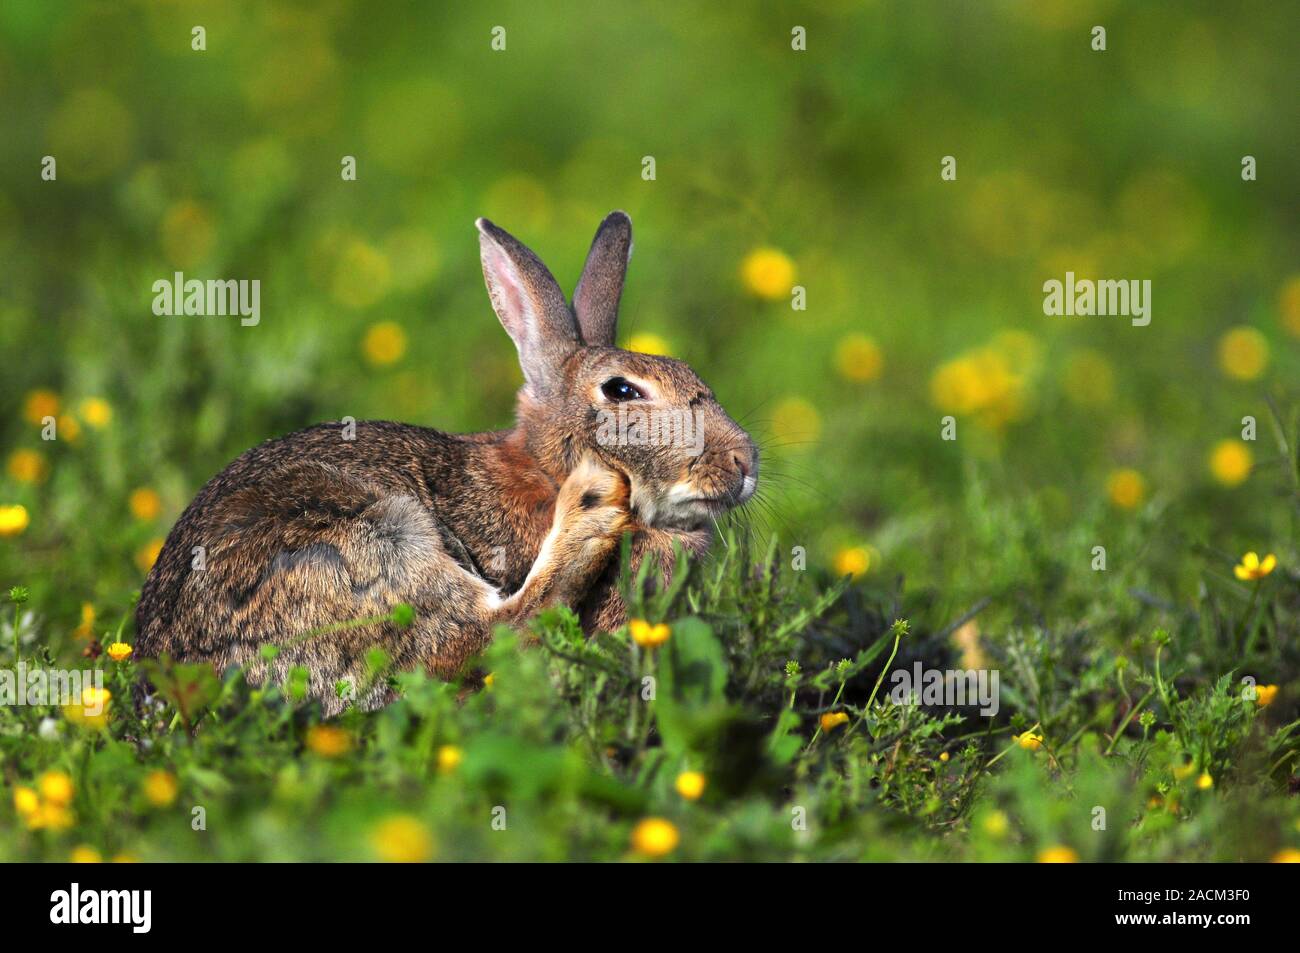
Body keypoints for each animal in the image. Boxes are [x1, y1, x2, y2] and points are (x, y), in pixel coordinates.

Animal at [134, 211, 759, 714]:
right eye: (622, 391)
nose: (744, 462)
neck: (546, 471)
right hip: (366, 544)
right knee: (486, 633)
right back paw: (590, 510)